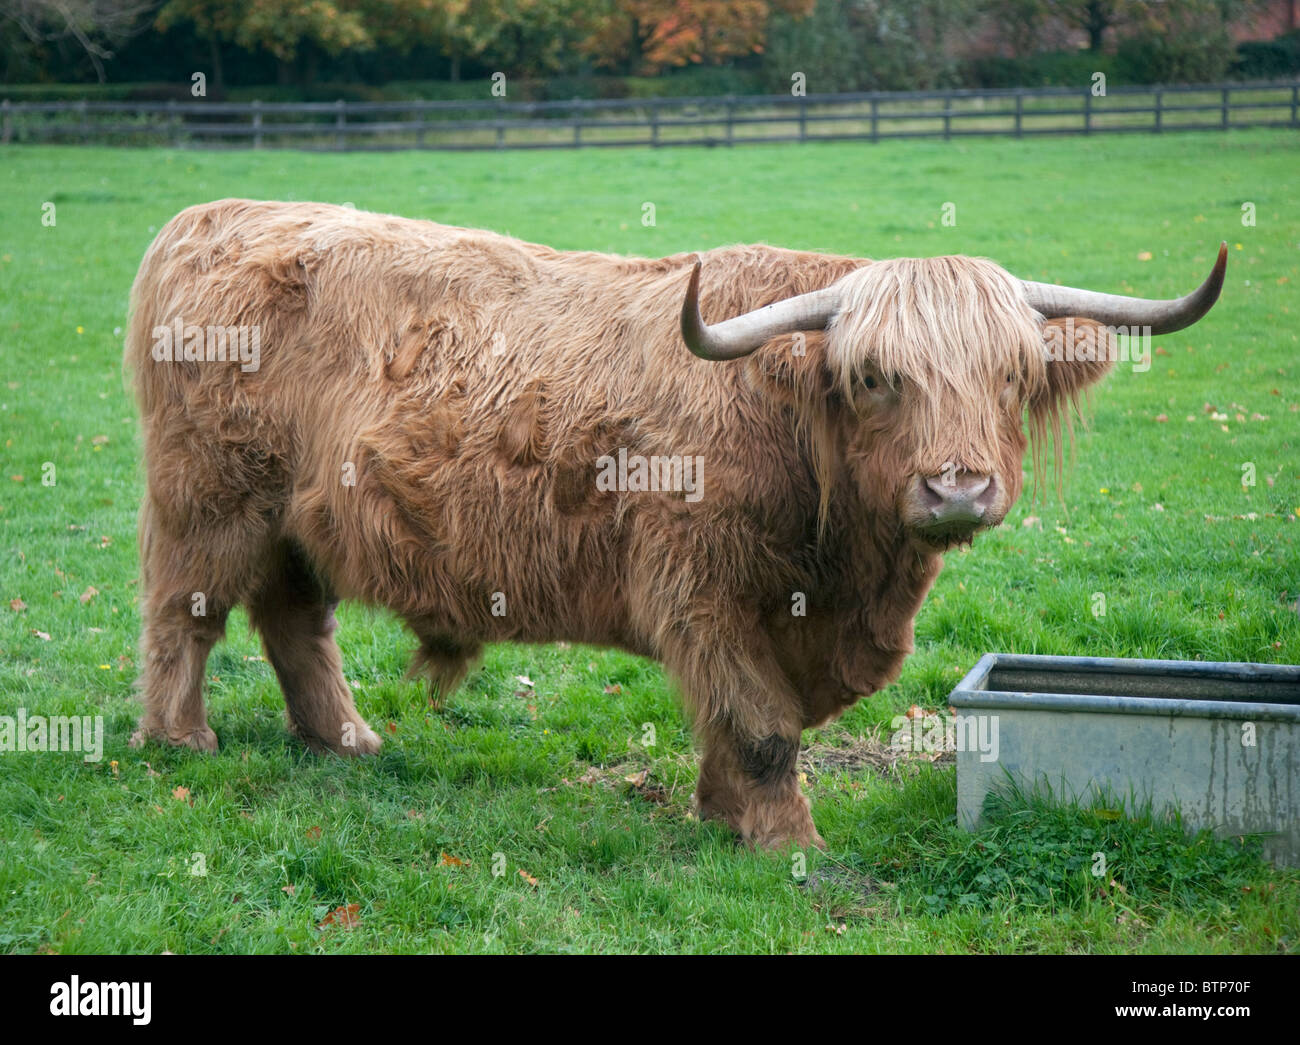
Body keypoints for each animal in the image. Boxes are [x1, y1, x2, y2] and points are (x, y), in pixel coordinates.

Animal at [125, 199, 1225, 848]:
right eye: (876, 377)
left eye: (1014, 374)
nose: (957, 490)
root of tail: (214, 214)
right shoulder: (699, 590)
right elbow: (763, 723)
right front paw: (786, 843)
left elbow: (745, 719)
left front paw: (716, 810)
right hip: (209, 500)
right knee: (186, 614)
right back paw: (181, 741)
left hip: (296, 517)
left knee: (293, 619)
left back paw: (346, 738)